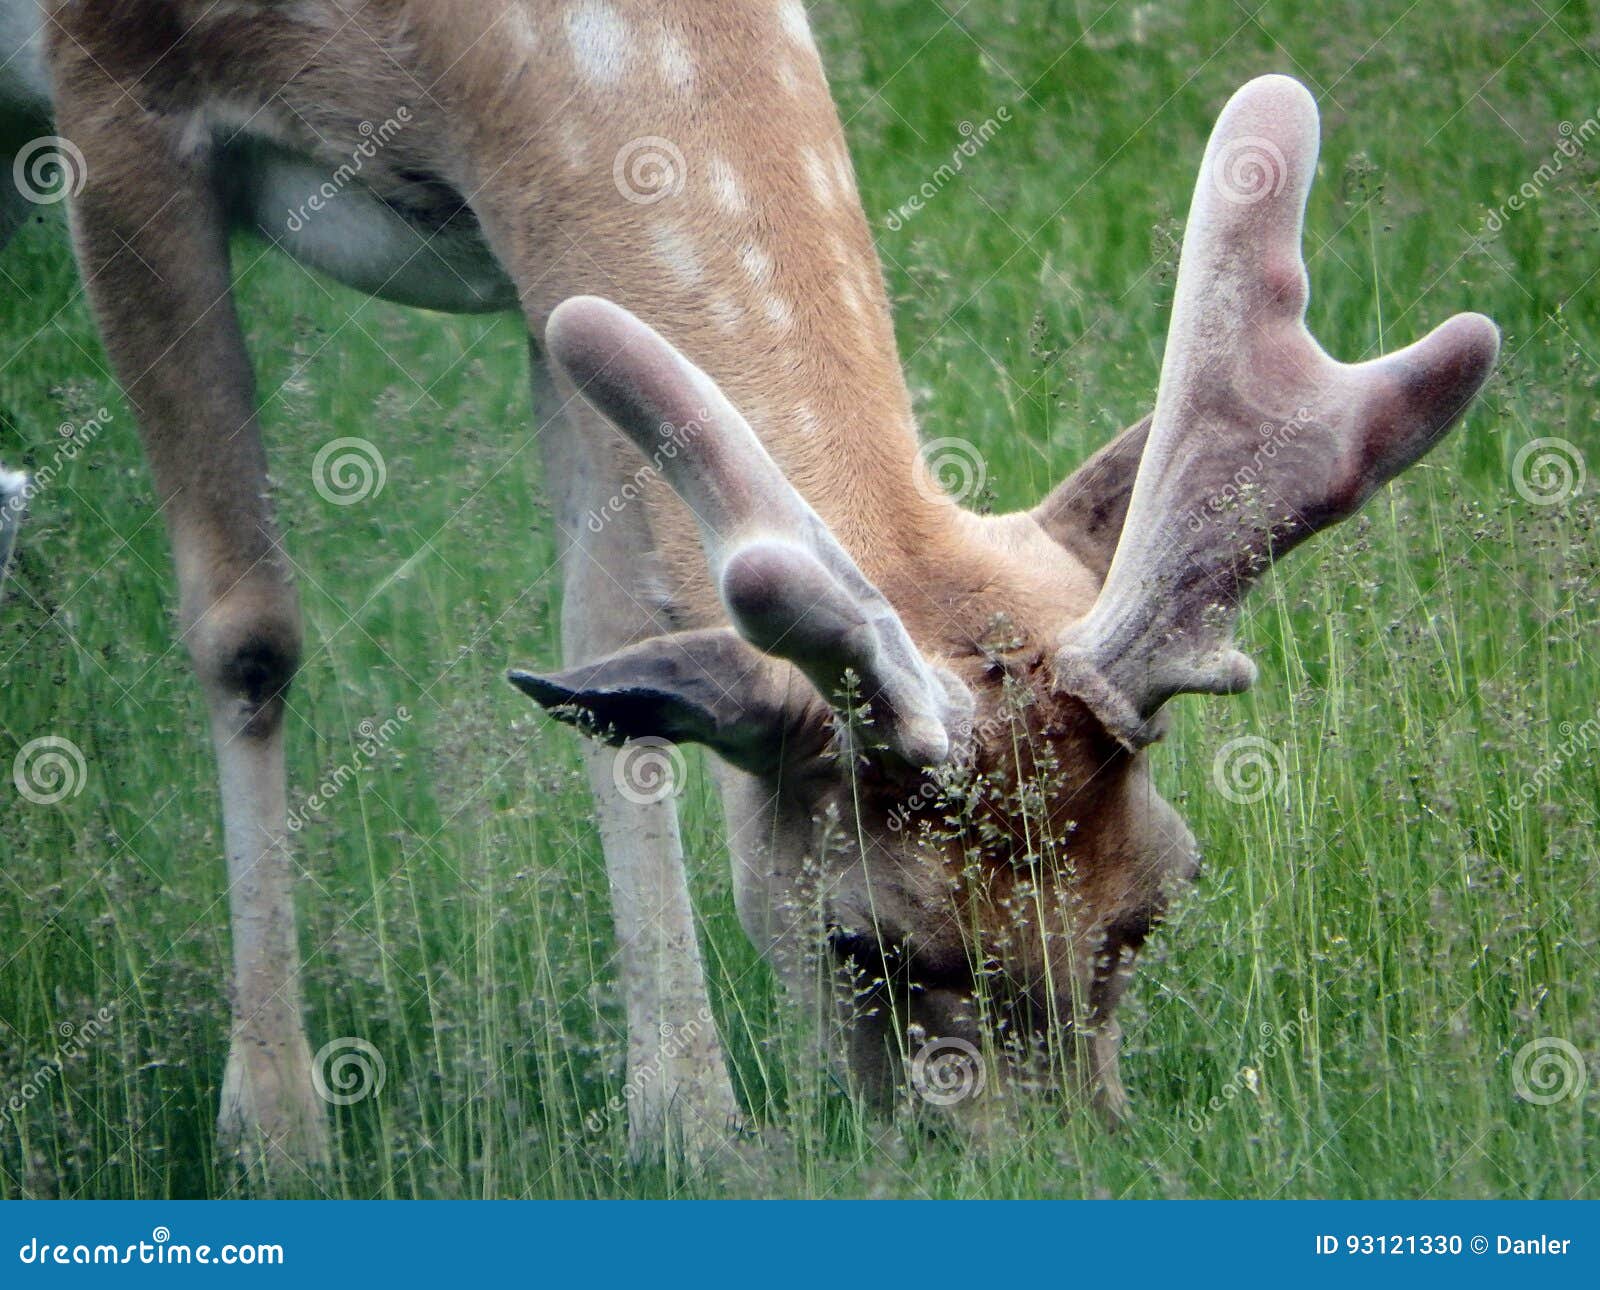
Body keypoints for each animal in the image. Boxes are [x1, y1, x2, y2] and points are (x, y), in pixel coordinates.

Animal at [0, 0, 1496, 1179]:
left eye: (1160, 896)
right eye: (864, 942)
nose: (1062, 1163)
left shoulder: (543, 261)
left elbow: (612, 635)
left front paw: (685, 1123)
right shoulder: (106, 92)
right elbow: (247, 629)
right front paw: (273, 1125)